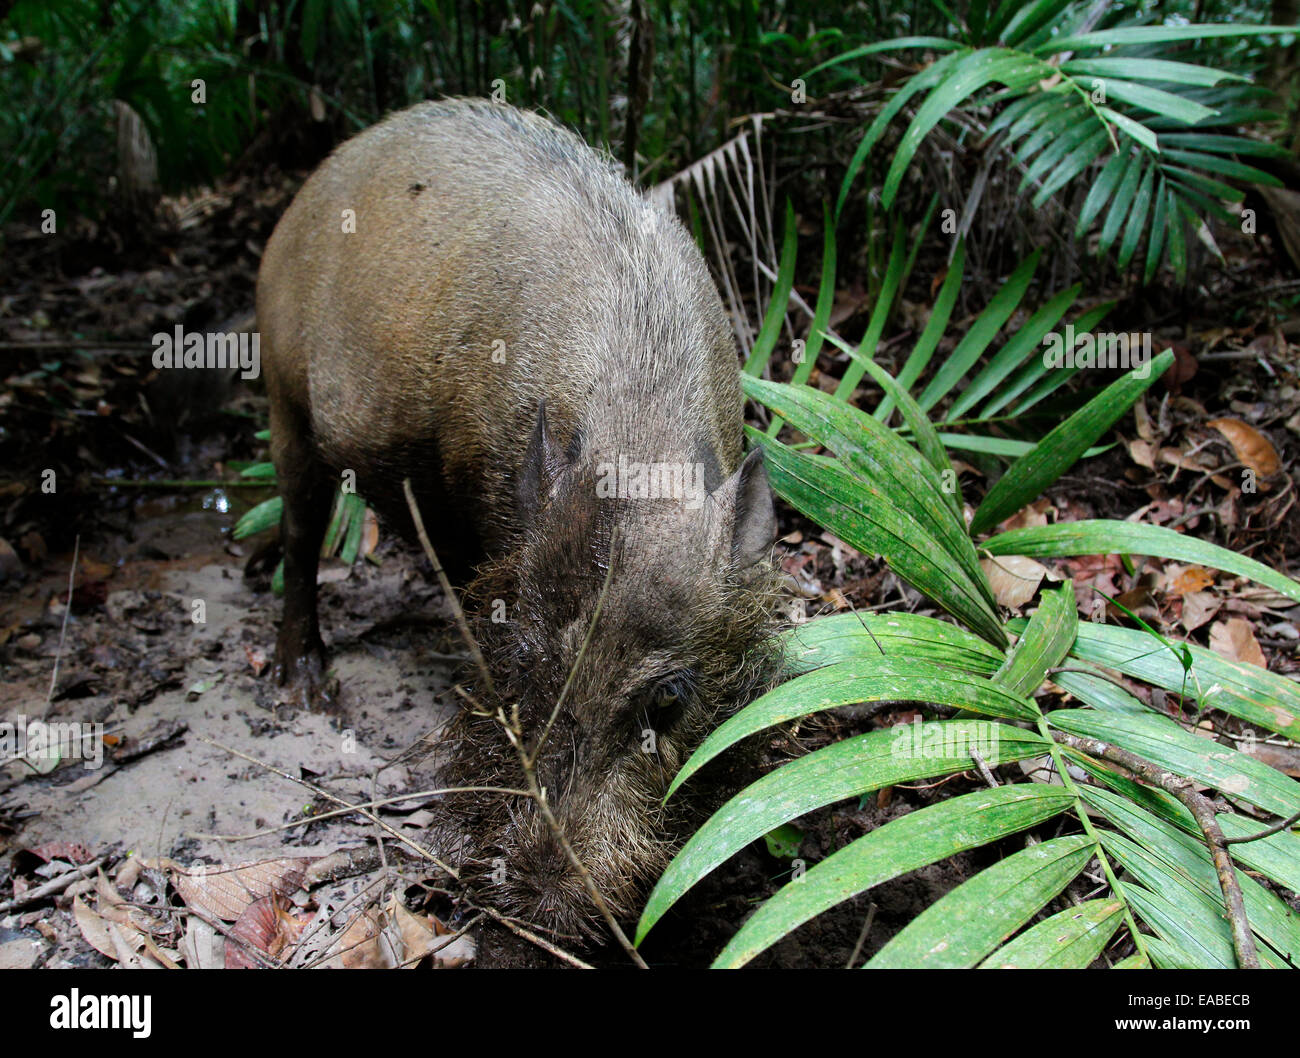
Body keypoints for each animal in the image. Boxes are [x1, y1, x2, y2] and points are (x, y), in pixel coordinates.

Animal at [256, 99, 779, 939]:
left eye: (669, 701)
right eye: (529, 667)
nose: (533, 893)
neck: (637, 442)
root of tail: (302, 197)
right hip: (283, 397)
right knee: (301, 535)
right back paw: (306, 688)